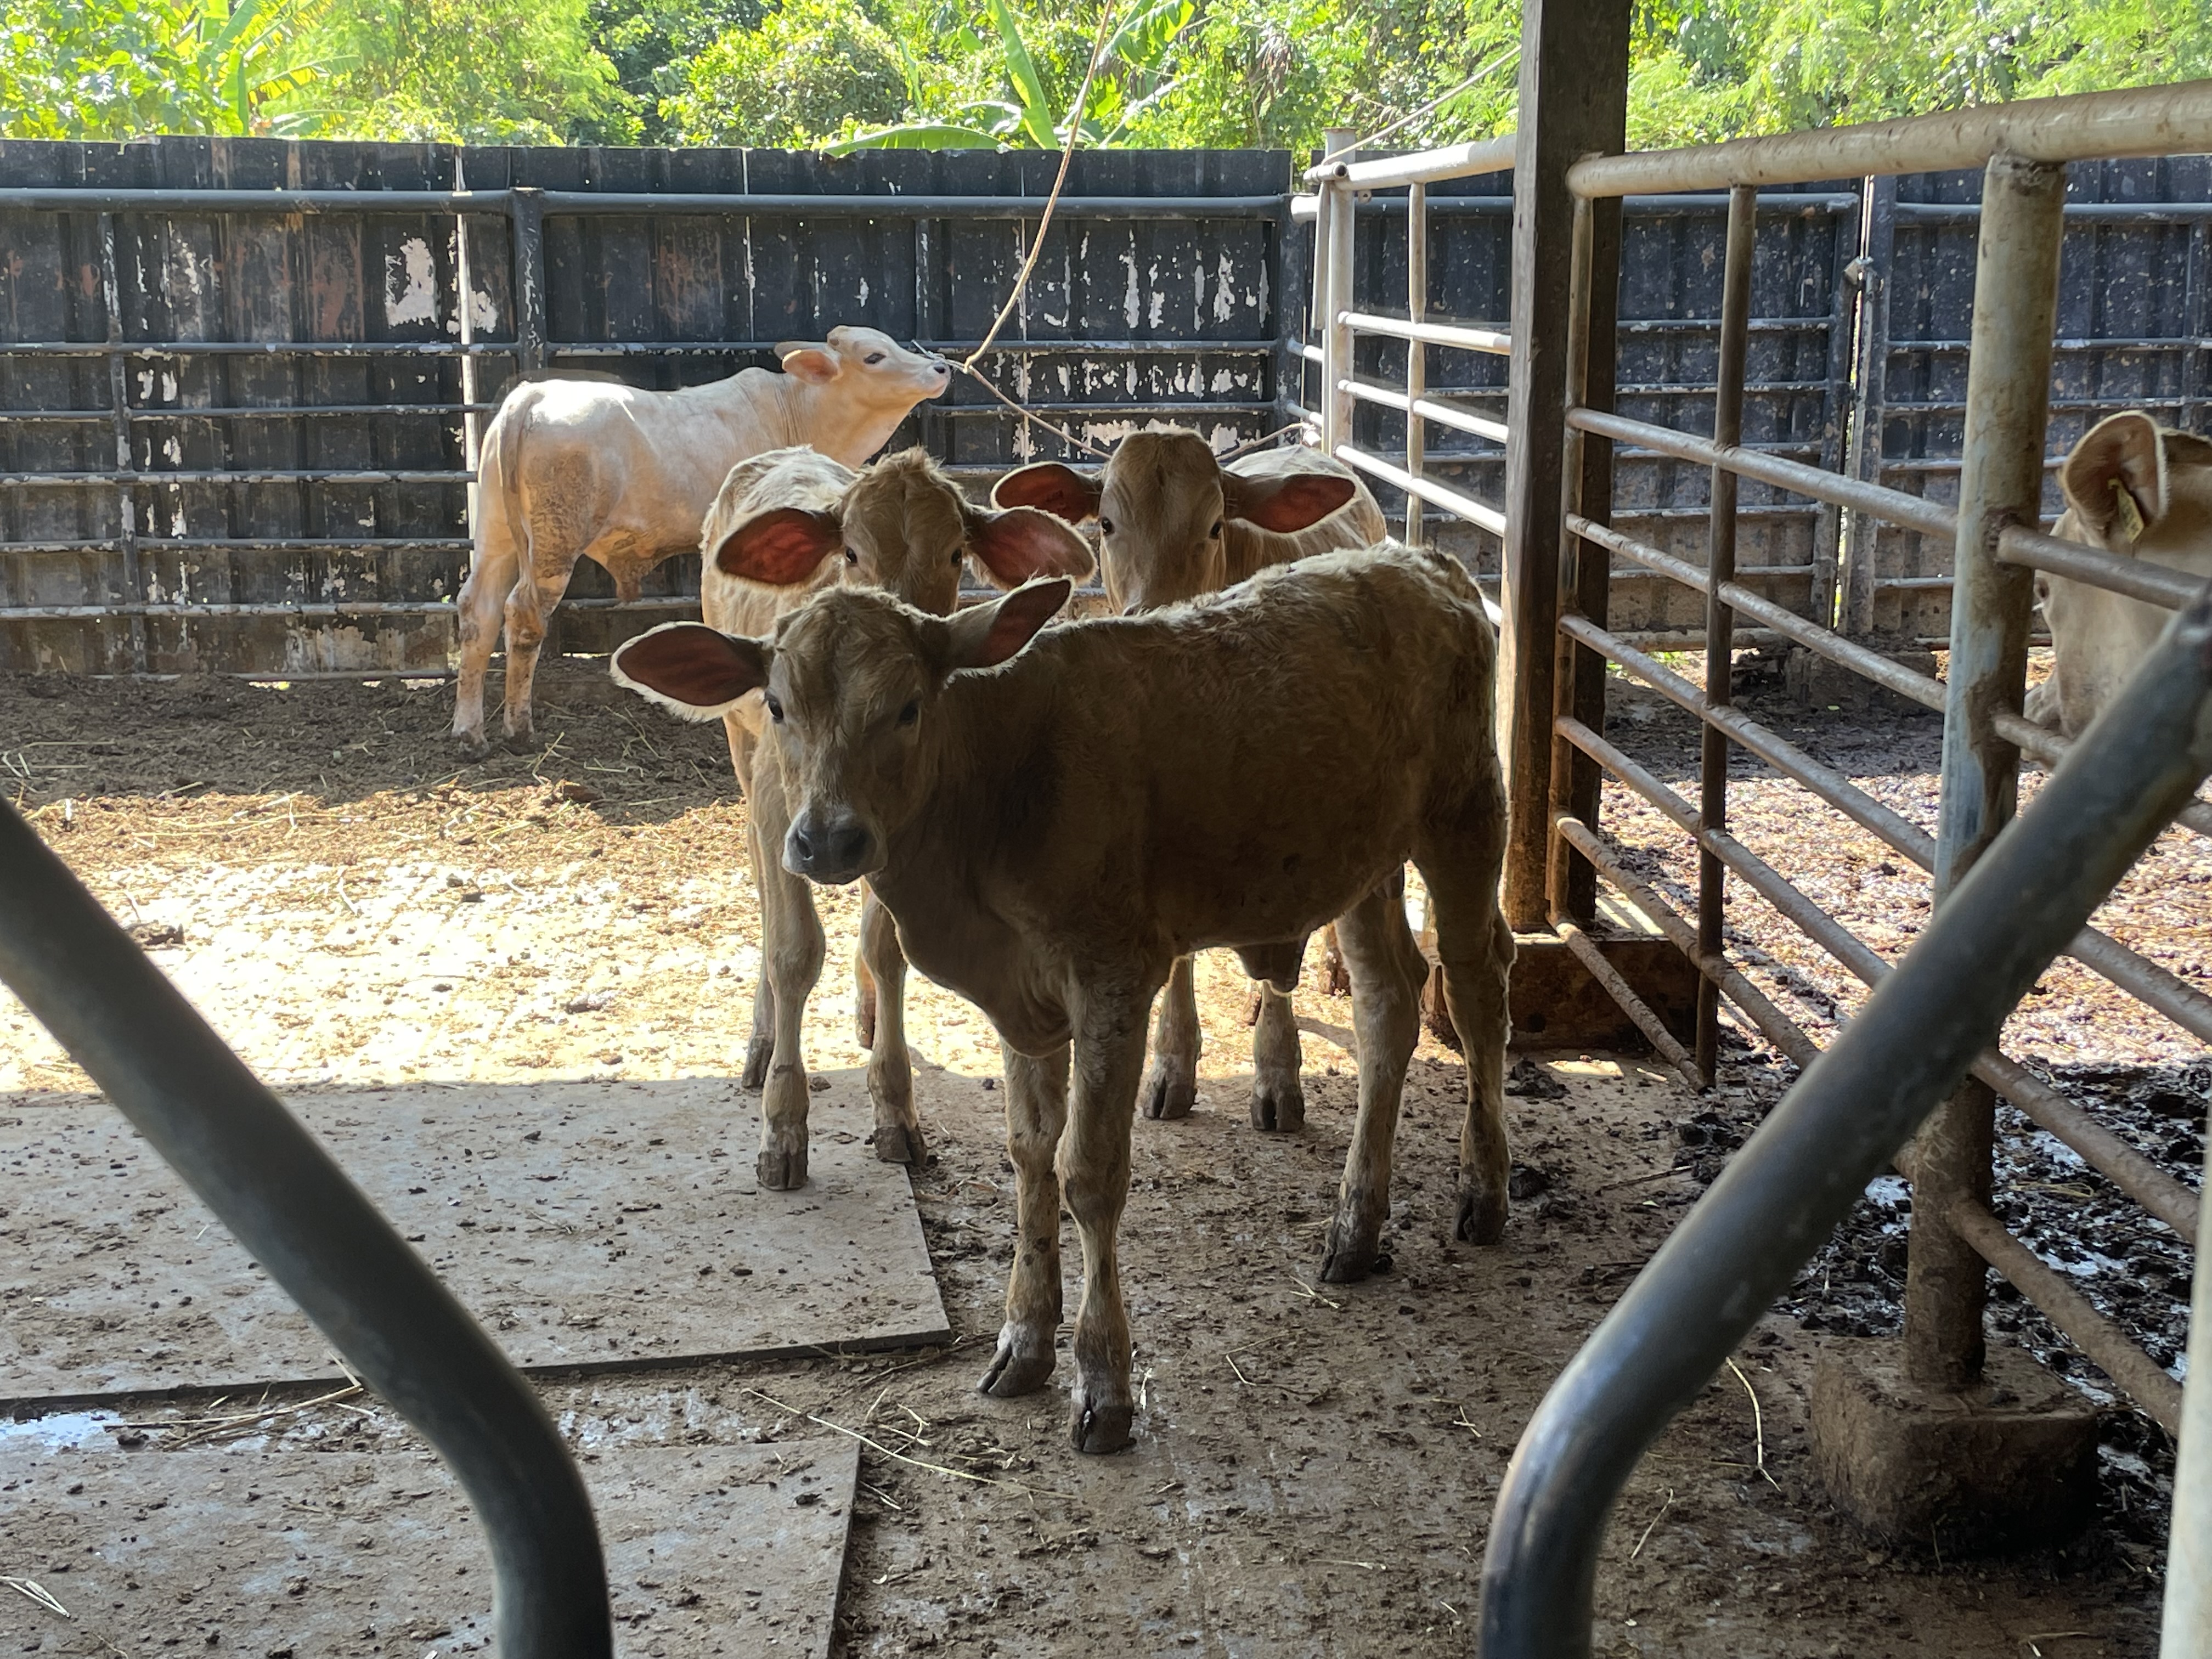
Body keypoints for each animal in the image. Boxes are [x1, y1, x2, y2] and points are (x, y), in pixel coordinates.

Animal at [450, 327, 952, 760]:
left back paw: (470, 734)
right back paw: (518, 730)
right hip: (555, 543)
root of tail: (531, 398)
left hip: (496, 536)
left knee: (478, 610)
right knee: (523, 615)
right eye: (874, 356)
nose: (942, 368)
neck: (797, 409)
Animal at [608, 544, 1513, 1454]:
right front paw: (1025, 1340)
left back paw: (1484, 1191)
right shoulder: (1022, 995)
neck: (996, 793)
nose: (828, 839)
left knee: (1477, 989)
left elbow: (1089, 1172)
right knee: (1388, 1004)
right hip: (1365, 861)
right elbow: (1029, 1152)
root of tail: (1415, 558)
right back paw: (1356, 1227)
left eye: (907, 707)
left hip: (1467, 815)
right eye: (777, 705)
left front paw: (1104, 1382)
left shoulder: (1114, 973)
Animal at [699, 446, 1094, 1189]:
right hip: (738, 745)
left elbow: (887, 947)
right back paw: (762, 1039)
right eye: (851, 550)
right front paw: (783, 1126)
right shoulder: (774, 794)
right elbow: (793, 950)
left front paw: (894, 1108)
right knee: (762, 882)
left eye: (955, 553)